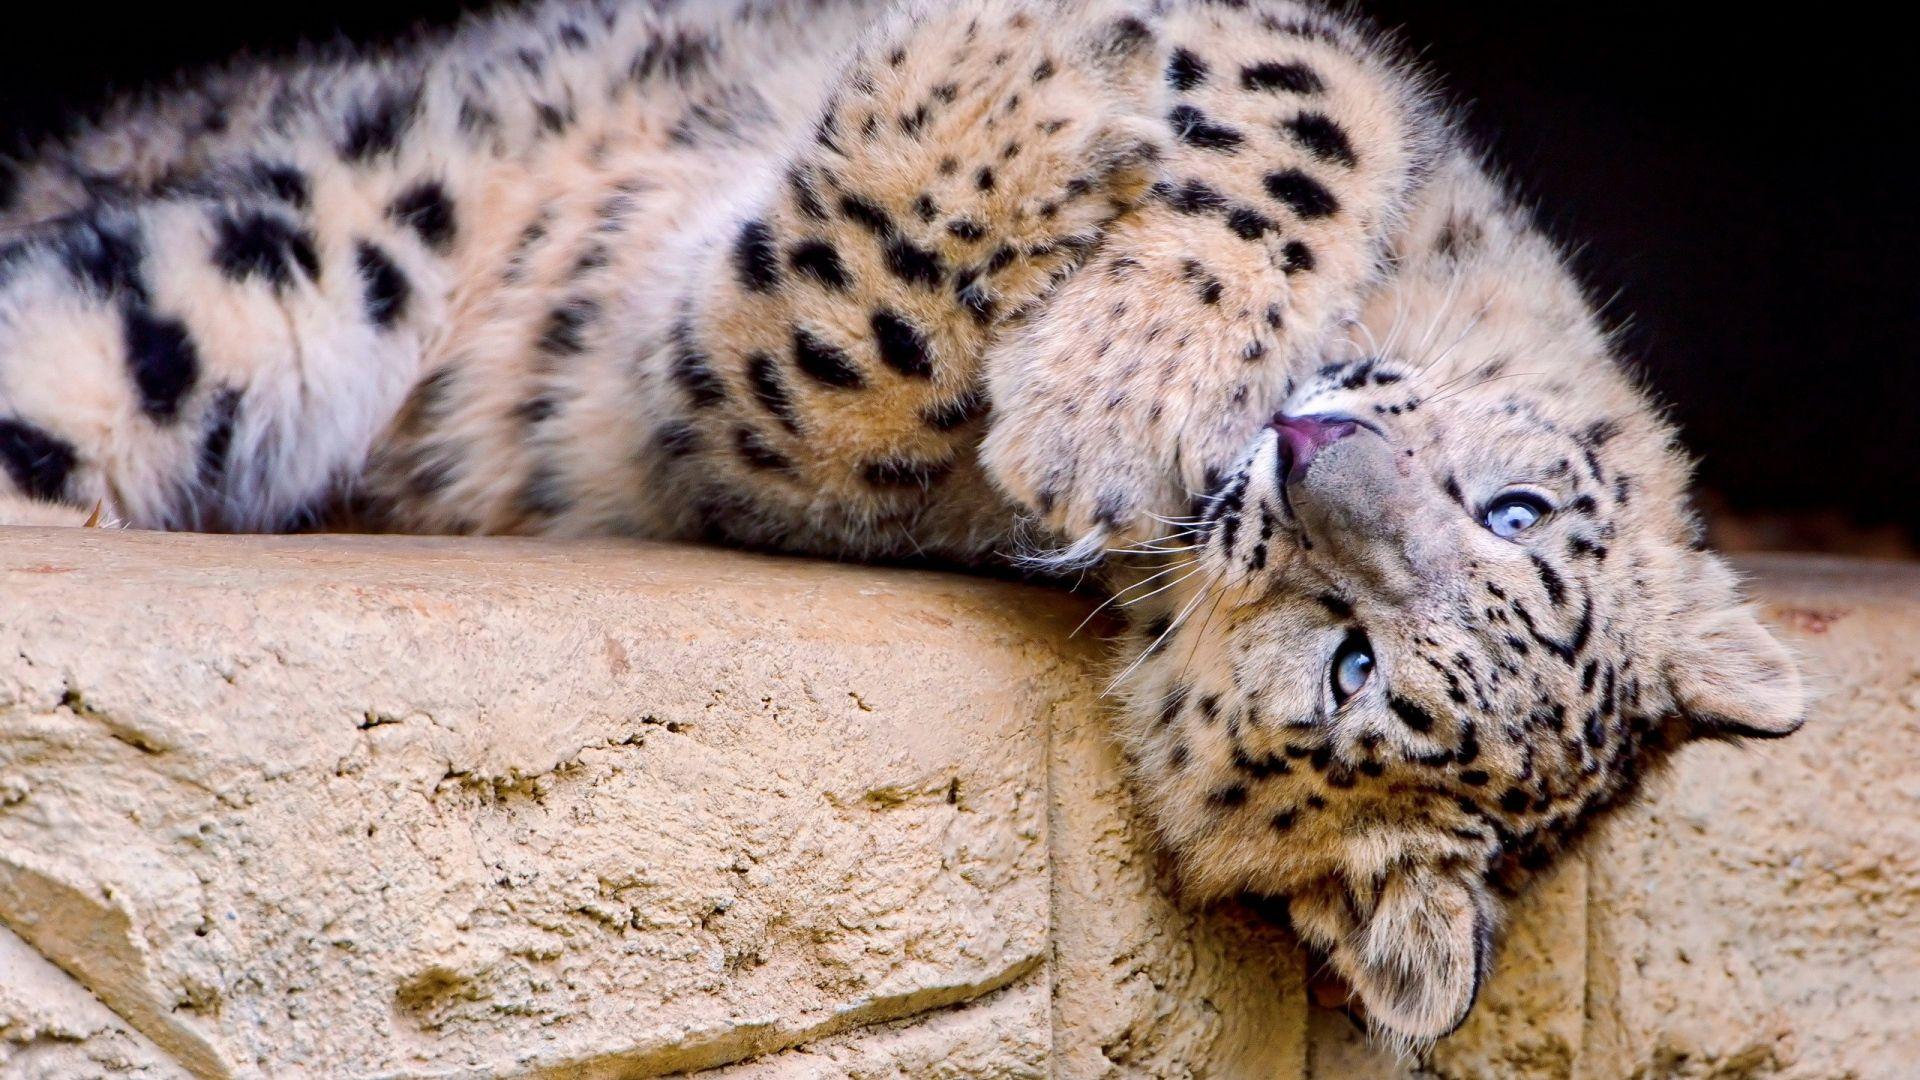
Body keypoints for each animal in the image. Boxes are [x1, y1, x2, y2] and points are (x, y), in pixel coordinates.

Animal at [0, 0, 1806, 1045]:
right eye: (1512, 503)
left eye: (1348, 666)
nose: (1309, 453)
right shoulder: (1337, 84)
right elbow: (1298, 95)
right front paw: (1108, 283)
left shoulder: (722, 403)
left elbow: (826, 319)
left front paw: (1071, 351)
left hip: (239, 298)